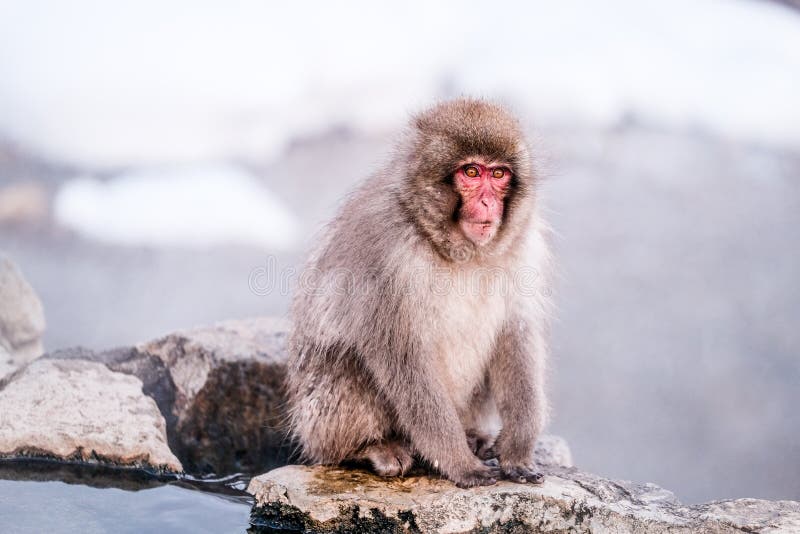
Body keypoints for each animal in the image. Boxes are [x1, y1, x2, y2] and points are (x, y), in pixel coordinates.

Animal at [286, 98, 552, 488]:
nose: (489, 203)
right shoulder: (383, 251)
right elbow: (403, 356)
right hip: (317, 420)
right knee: (349, 362)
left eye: (499, 174)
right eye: (471, 172)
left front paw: (517, 450)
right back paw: (371, 447)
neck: (453, 248)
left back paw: (474, 436)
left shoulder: (521, 247)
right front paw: (459, 462)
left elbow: (515, 334)